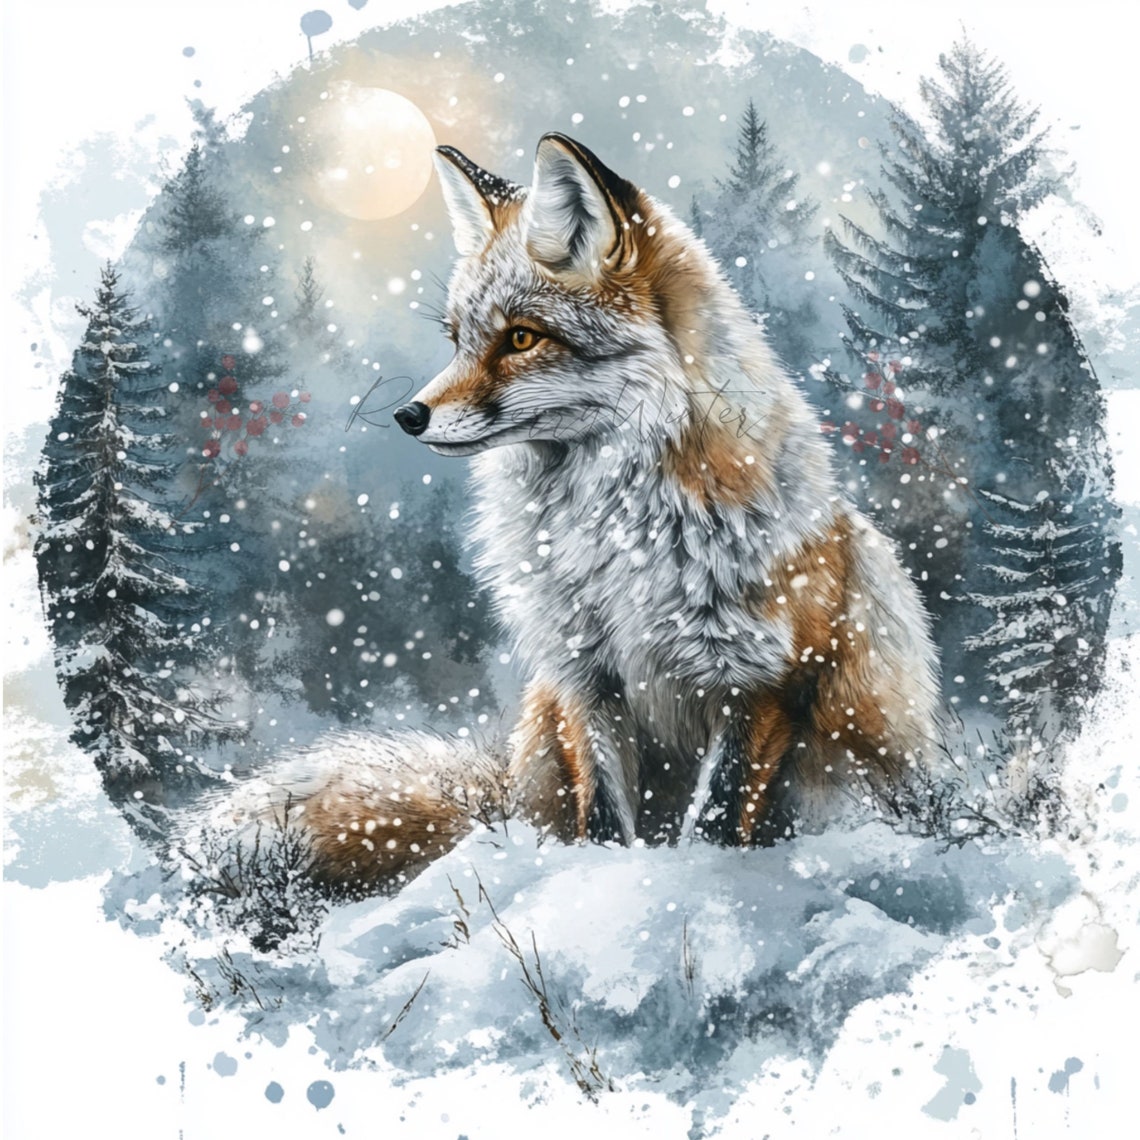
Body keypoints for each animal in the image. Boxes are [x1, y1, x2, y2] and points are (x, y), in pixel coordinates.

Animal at [218, 133, 940, 895]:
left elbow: (718, 819)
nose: (408, 415)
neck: (615, 541)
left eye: (522, 338)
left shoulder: (759, 683)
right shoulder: (584, 675)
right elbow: (601, 814)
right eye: (458, 339)